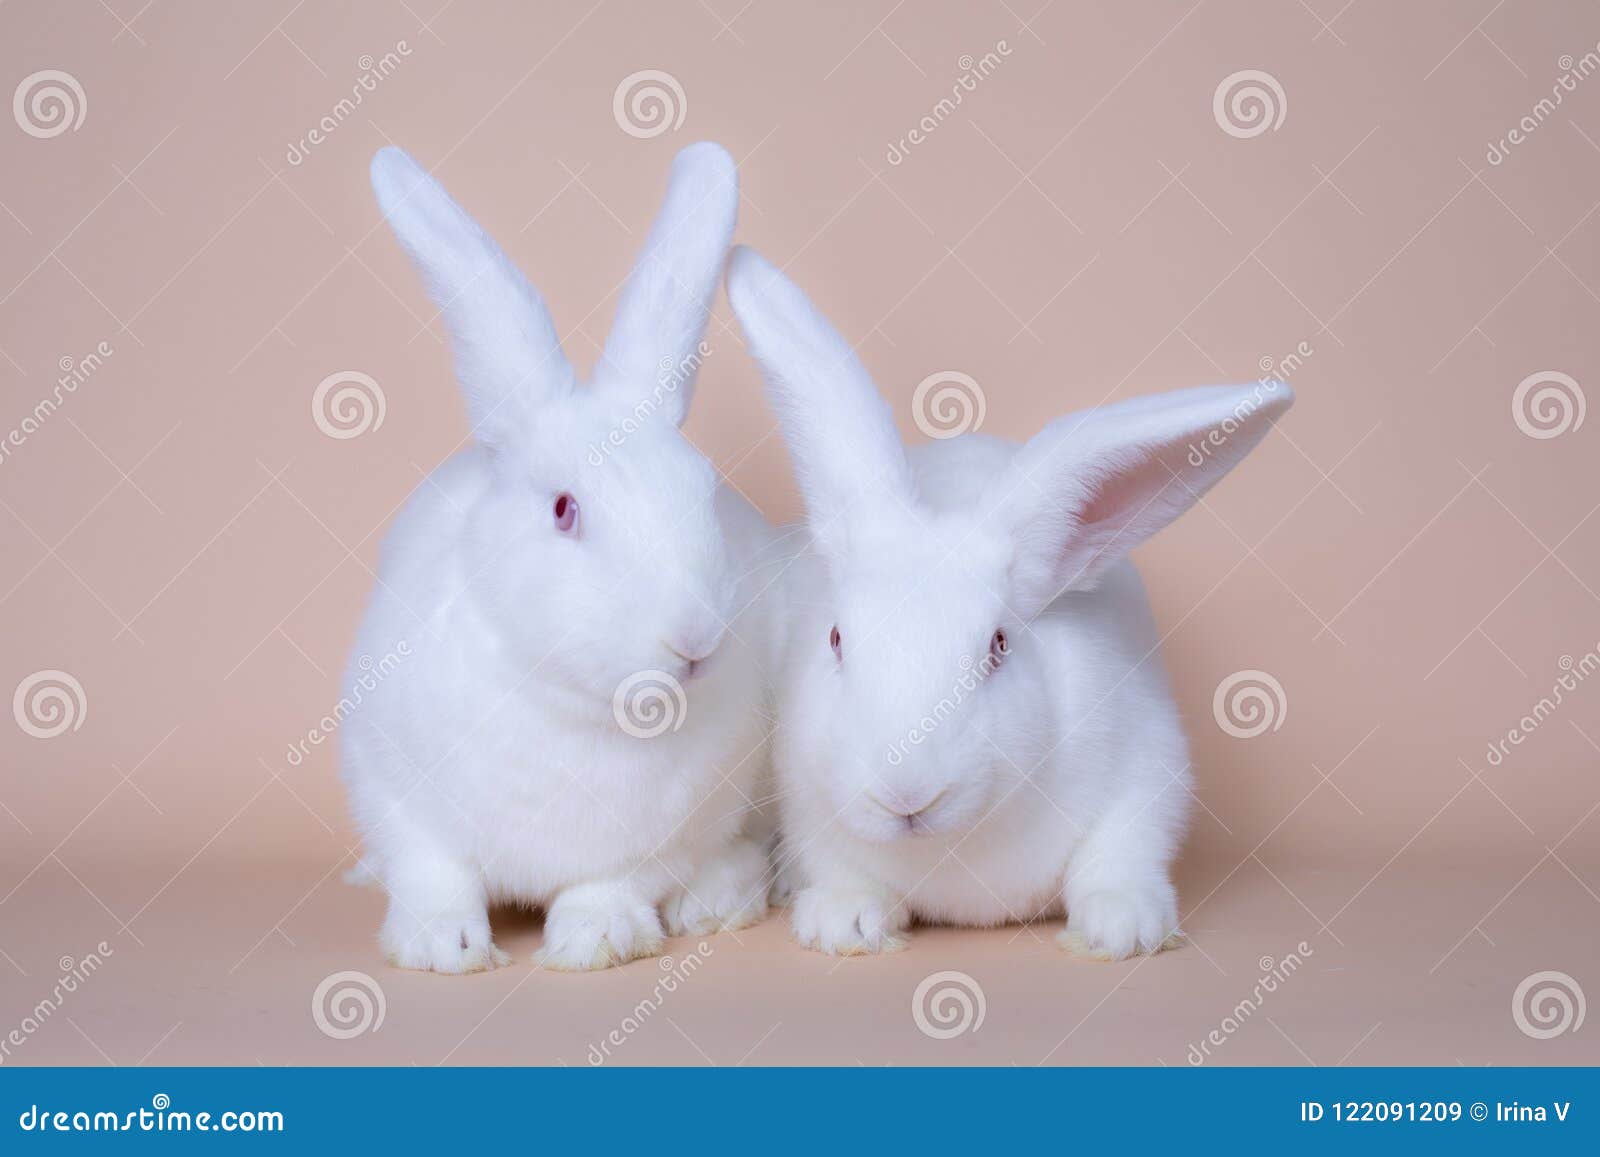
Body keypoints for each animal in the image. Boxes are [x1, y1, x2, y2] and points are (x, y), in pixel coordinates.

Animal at [339, 143, 786, 973]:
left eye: (705, 492)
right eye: (563, 509)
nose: (695, 638)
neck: (576, 709)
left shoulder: (661, 839)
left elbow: (611, 883)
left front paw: (593, 940)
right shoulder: (394, 790)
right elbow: (432, 870)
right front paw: (442, 945)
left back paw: (715, 900)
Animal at [725, 245, 1293, 960]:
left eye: (998, 646)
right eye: (835, 641)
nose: (906, 792)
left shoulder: (1148, 767)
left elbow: (1119, 853)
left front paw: (1121, 928)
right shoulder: (807, 801)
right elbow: (839, 865)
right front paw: (844, 923)